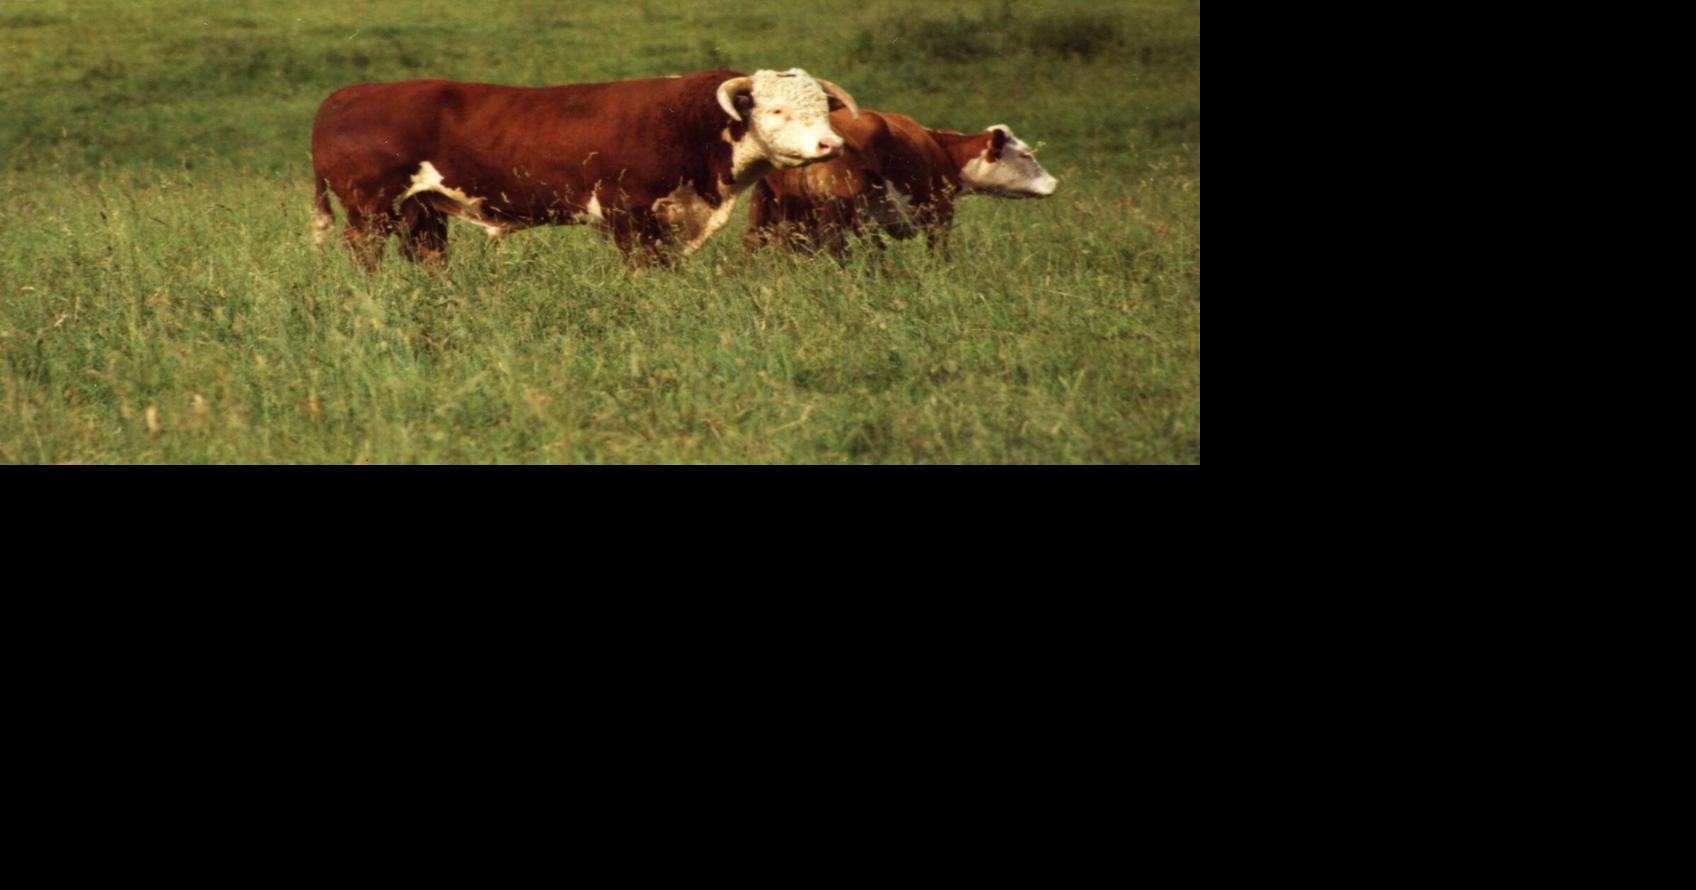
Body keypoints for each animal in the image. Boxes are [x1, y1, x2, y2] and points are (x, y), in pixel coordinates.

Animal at [309, 69, 859, 268]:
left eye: (823, 107)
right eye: (776, 109)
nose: (830, 143)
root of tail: (348, 93)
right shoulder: (629, 212)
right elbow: (644, 268)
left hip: (421, 210)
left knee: (426, 256)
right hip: (370, 207)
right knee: (364, 254)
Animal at [745, 109, 1058, 258]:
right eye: (1025, 153)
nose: (1054, 183)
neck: (939, 147)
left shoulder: (870, 223)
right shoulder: (940, 209)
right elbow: (937, 252)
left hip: (773, 212)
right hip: (832, 214)